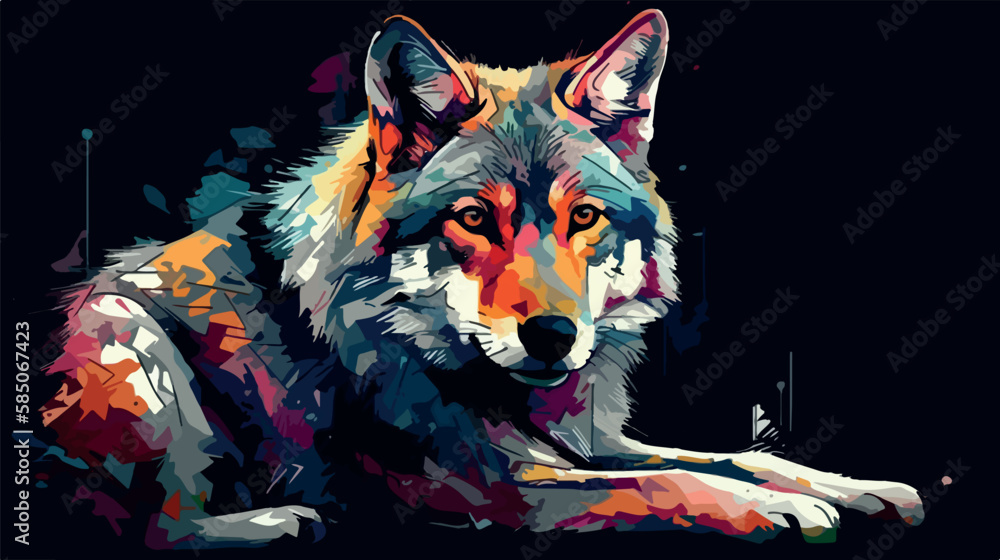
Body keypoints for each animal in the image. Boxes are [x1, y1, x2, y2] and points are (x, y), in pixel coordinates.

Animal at [39, 10, 923, 548]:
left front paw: (855, 486)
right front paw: (785, 510)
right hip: (135, 343)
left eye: (583, 218)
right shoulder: (479, 487)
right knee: (161, 531)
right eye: (472, 219)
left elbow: (731, 457)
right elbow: (661, 482)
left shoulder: (590, 441)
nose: (555, 336)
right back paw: (286, 520)